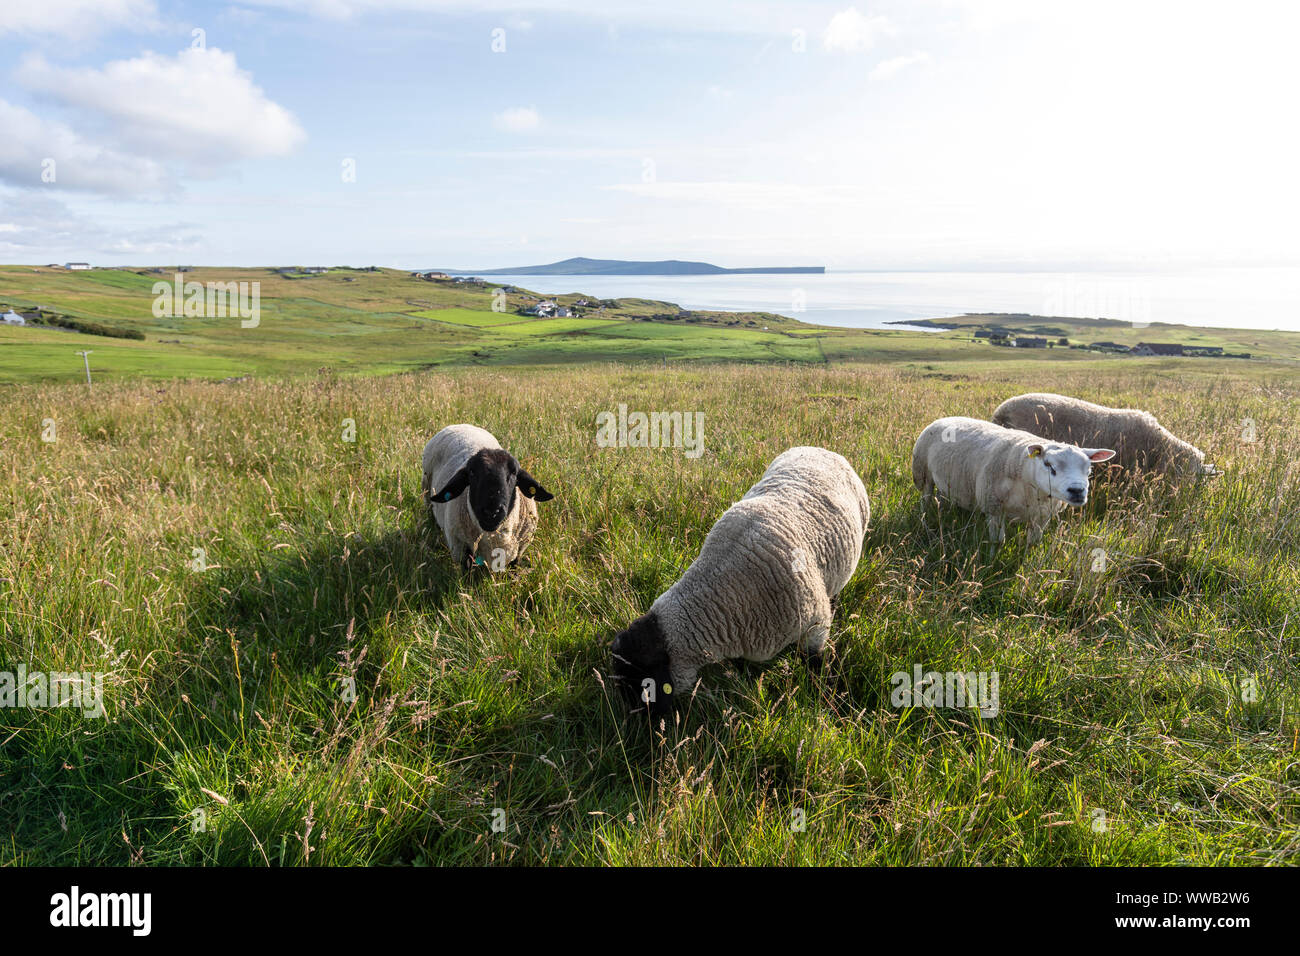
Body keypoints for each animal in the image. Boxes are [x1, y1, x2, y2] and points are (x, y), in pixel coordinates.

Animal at [421, 424, 553, 570]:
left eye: (514, 473)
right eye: (471, 472)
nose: (491, 512)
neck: (493, 539)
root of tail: (461, 424)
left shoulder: (520, 550)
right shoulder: (460, 549)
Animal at [609, 446, 870, 717]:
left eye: (642, 683)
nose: (639, 723)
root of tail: (820, 449)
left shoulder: (814, 628)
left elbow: (816, 666)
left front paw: (826, 699)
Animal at [912, 416, 1115, 544]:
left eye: (1088, 470)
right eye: (1049, 465)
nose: (1077, 491)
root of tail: (944, 418)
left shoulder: (1042, 516)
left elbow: (1033, 543)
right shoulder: (994, 508)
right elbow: (997, 542)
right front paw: (992, 563)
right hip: (923, 473)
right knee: (925, 498)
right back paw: (924, 520)